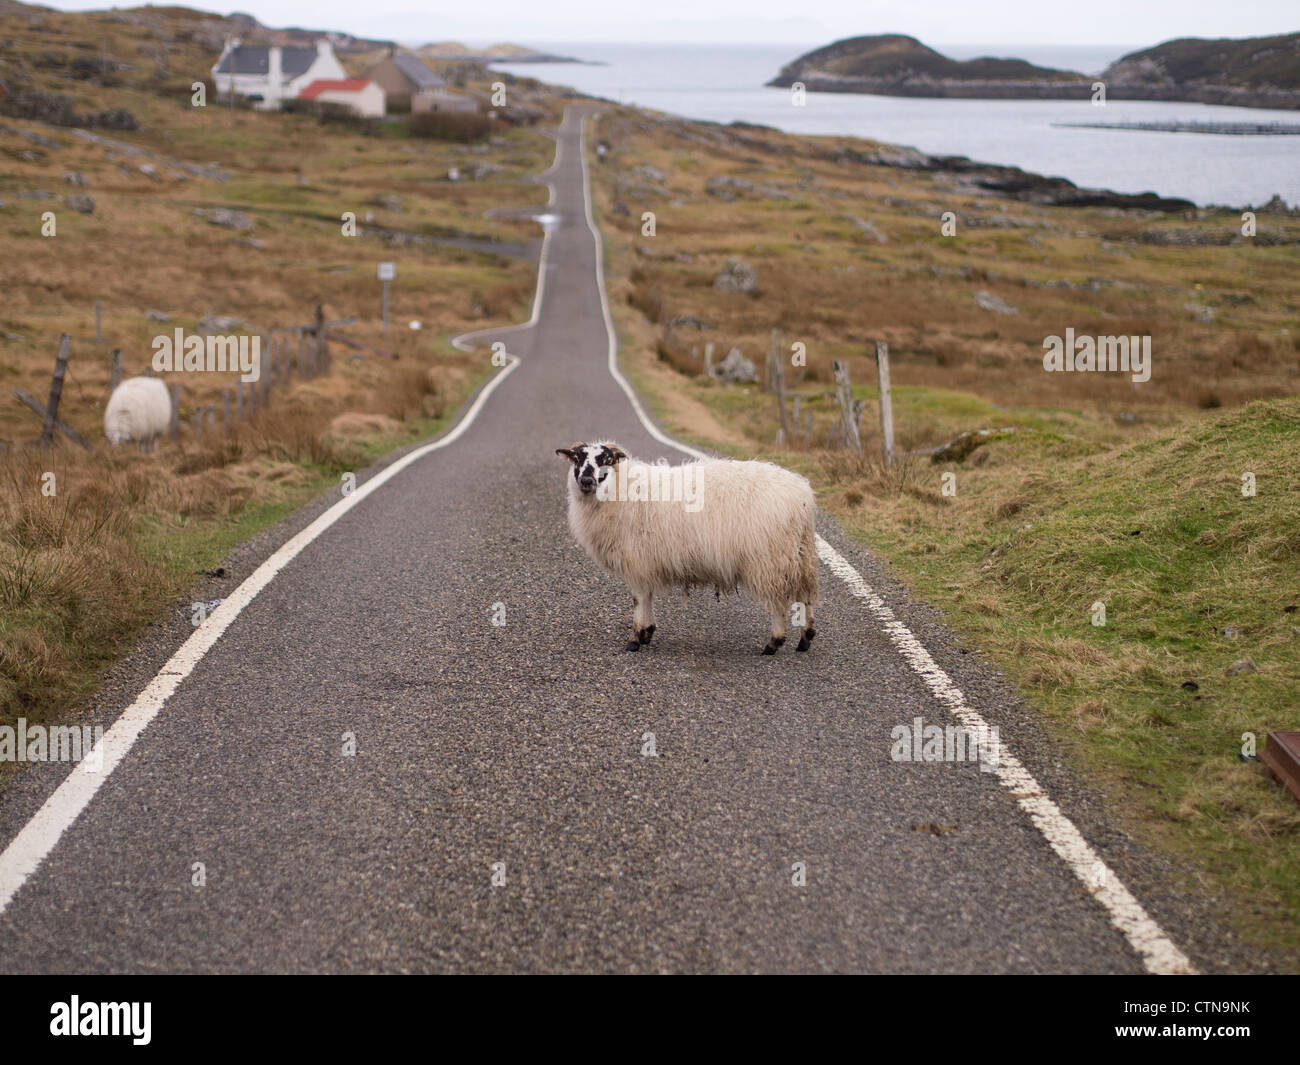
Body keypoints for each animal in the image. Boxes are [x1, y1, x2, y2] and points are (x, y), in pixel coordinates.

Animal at [556, 440, 818, 655]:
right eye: (577, 458)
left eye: (607, 459)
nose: (586, 481)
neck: (622, 490)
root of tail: (802, 495)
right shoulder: (645, 562)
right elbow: (647, 597)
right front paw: (648, 631)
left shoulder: (637, 561)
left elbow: (638, 598)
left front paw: (635, 638)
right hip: (800, 553)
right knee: (805, 595)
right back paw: (805, 638)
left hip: (769, 558)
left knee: (778, 601)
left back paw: (774, 642)